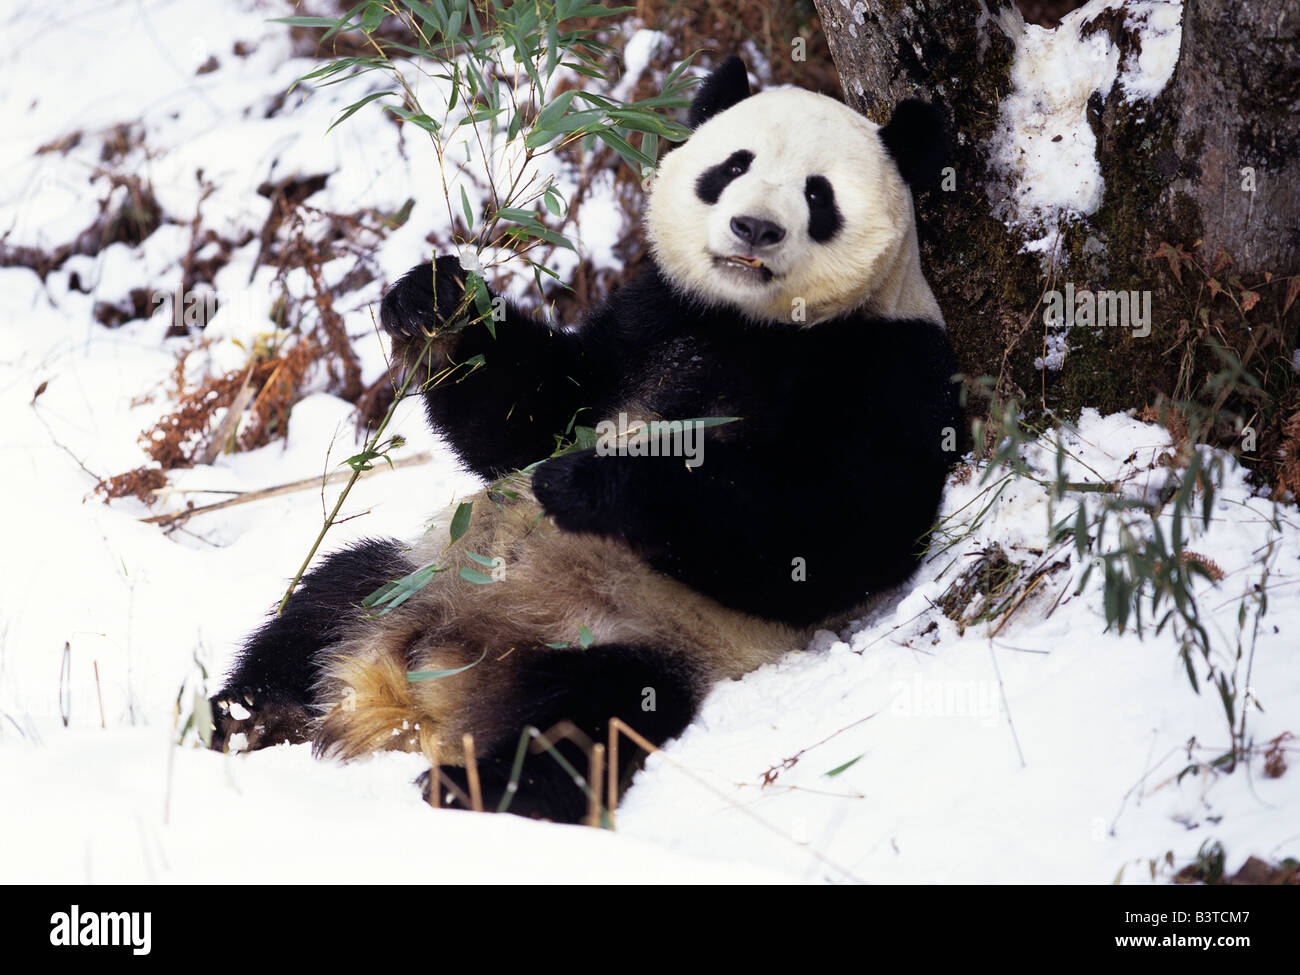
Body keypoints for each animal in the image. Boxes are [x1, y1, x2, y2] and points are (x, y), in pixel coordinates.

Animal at [209, 56, 960, 824]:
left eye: (818, 193)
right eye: (732, 166)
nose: (753, 227)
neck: (754, 323)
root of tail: (426, 684)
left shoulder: (892, 366)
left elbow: (830, 532)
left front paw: (590, 482)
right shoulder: (656, 314)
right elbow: (532, 415)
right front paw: (437, 301)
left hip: (639, 639)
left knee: (586, 718)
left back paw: (471, 784)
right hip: (423, 570)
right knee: (323, 602)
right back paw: (251, 714)